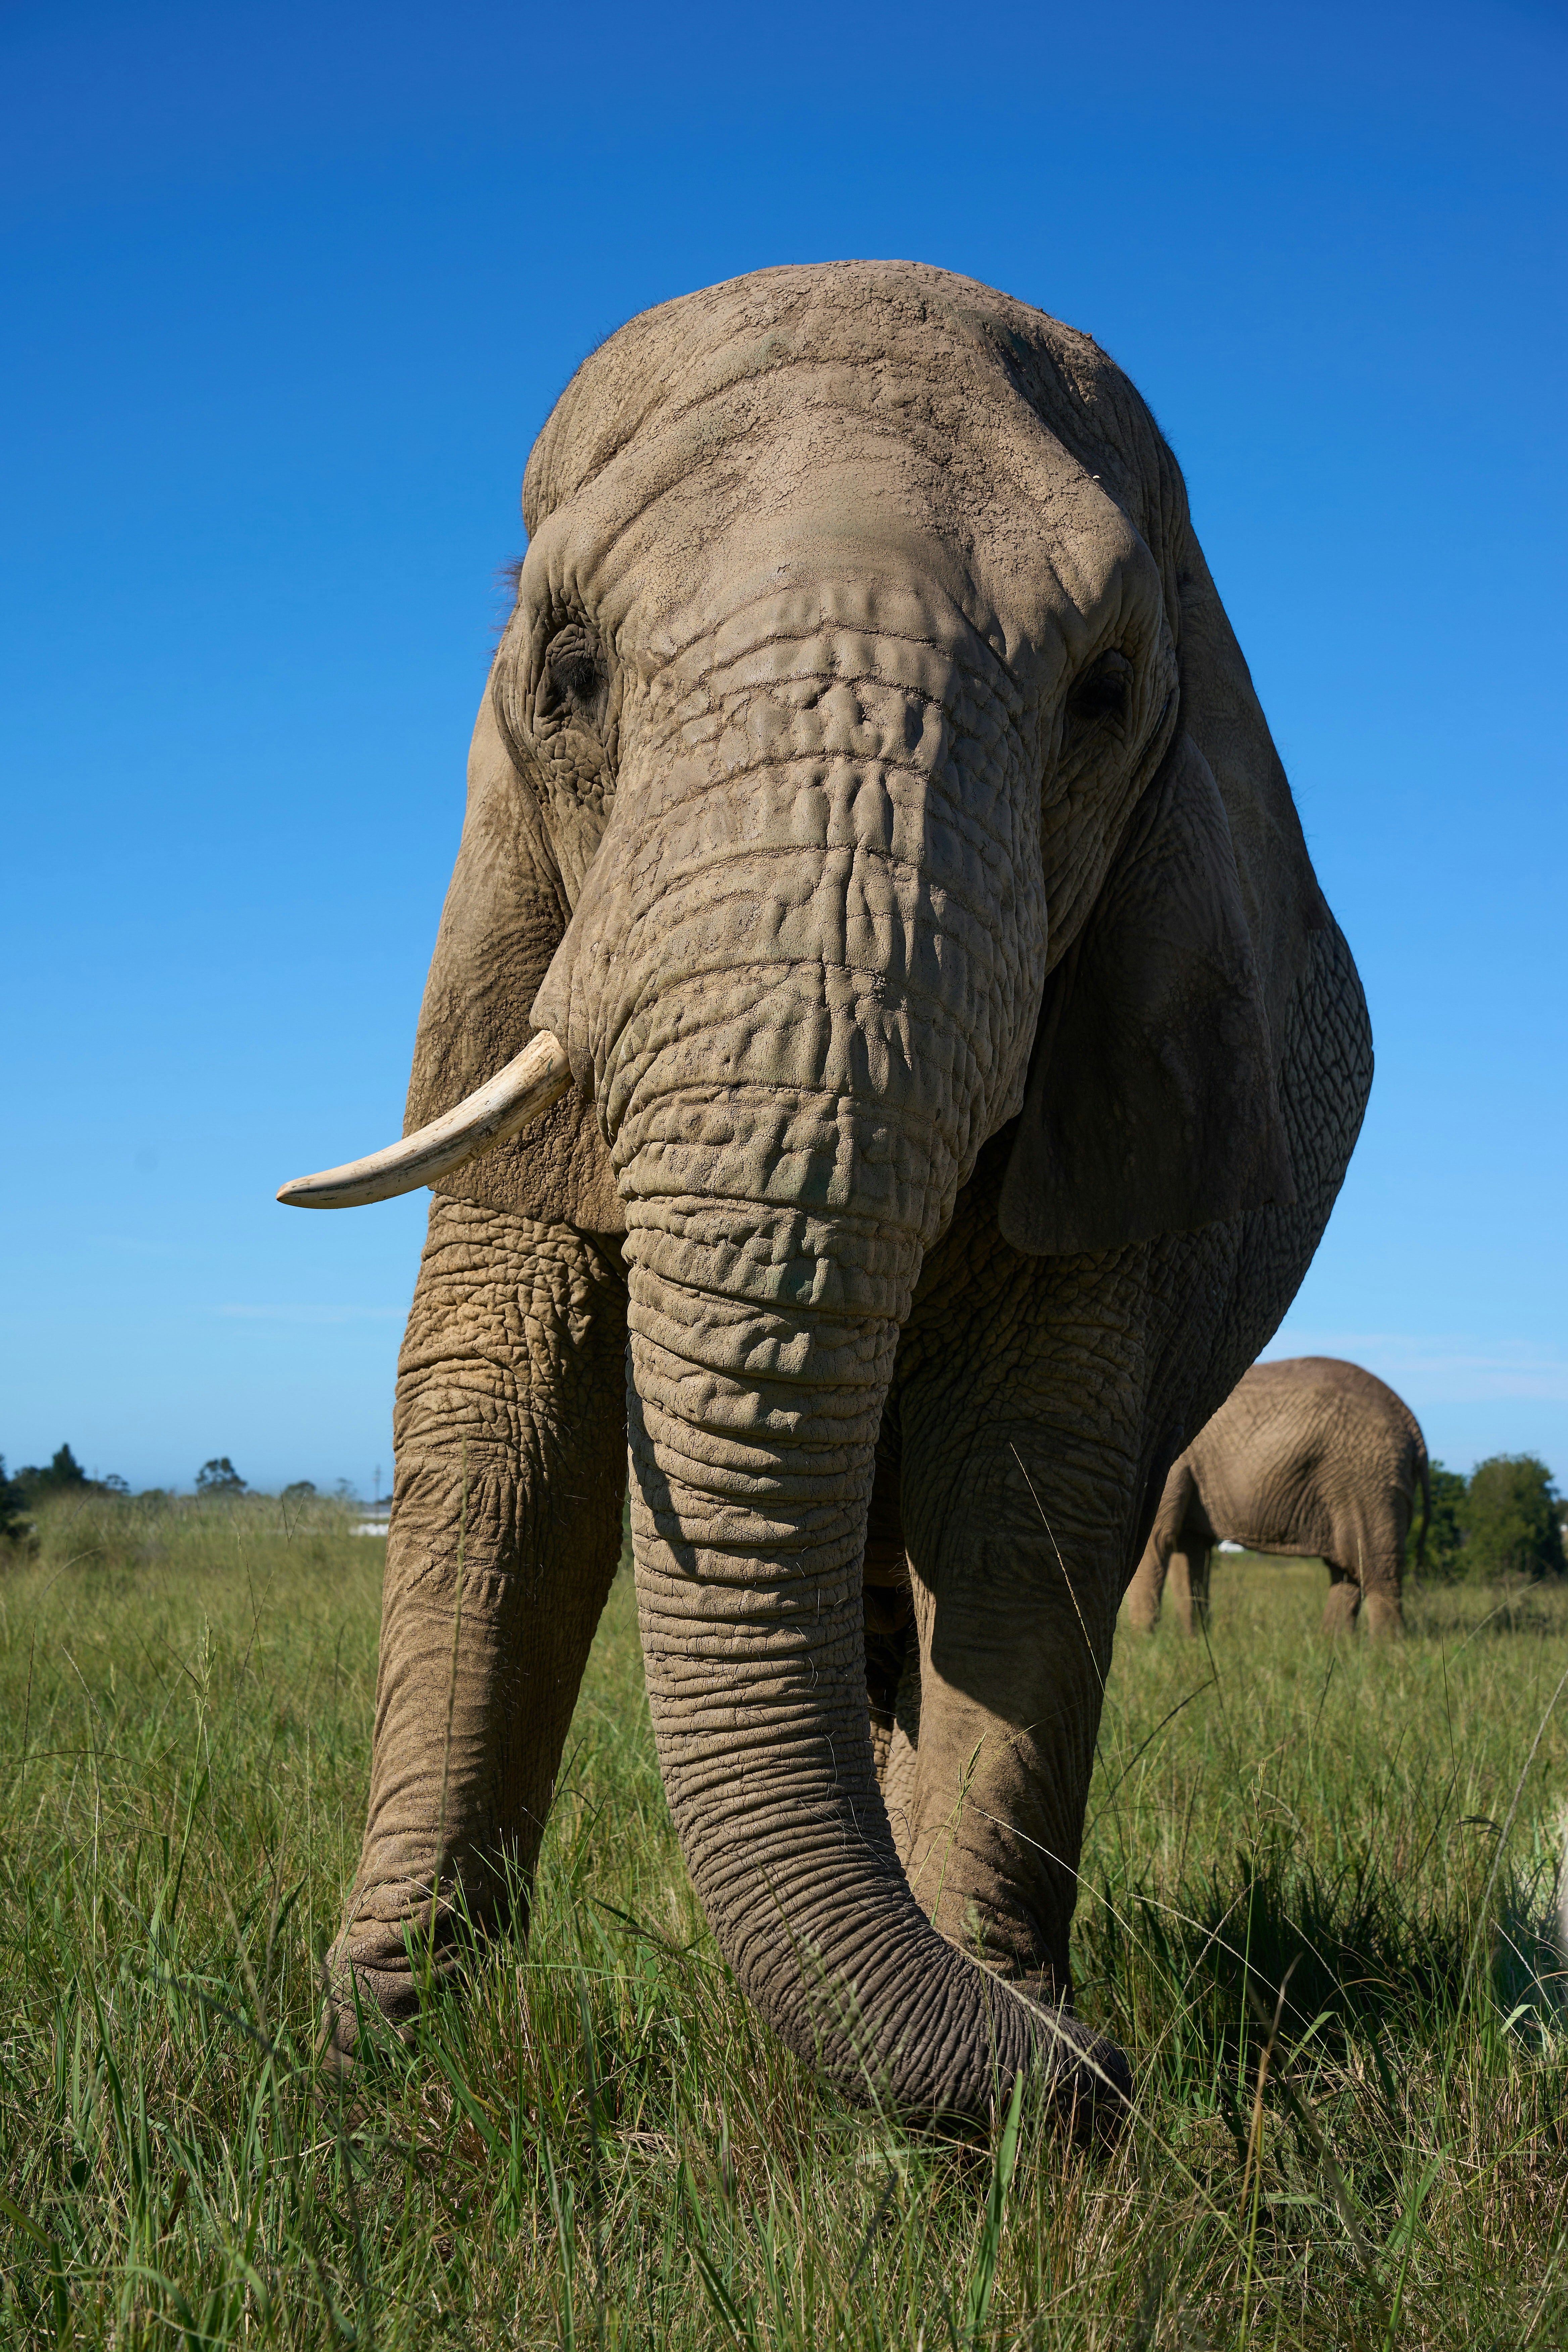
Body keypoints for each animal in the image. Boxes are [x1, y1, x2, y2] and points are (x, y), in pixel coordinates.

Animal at [278, 262, 1373, 2129]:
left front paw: (997, 2091)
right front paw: (374, 2075)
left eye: (1104, 695)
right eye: (569, 672)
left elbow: (1022, 1489)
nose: (1111, 2073)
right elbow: (501, 1438)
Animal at [1124, 1356, 1428, 1639]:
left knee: (1373, 1567)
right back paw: (1333, 1644)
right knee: (1347, 1568)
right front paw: (1194, 1642)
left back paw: (1385, 1649)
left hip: (1368, 1479)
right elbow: (1191, 1548)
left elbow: (1158, 1537)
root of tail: (1413, 1425)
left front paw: (1142, 1645)